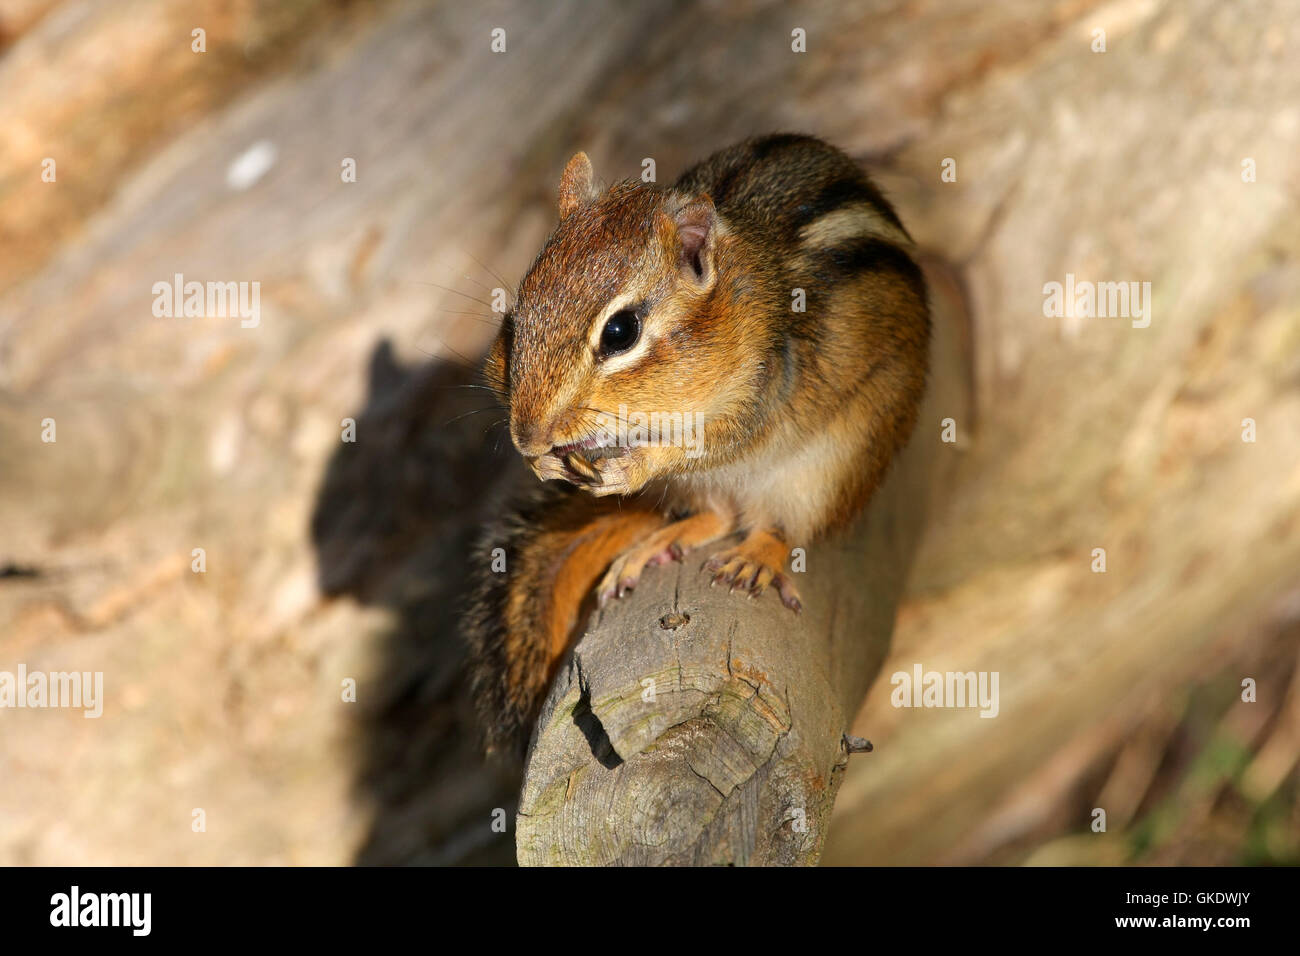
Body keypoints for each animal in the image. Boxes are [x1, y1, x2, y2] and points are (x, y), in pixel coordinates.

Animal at [465, 133, 930, 757]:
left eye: (621, 332)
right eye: (513, 323)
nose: (530, 434)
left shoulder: (761, 393)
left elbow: (714, 440)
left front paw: (632, 467)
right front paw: (541, 464)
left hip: (833, 470)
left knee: (780, 525)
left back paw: (756, 557)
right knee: (719, 514)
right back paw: (661, 542)